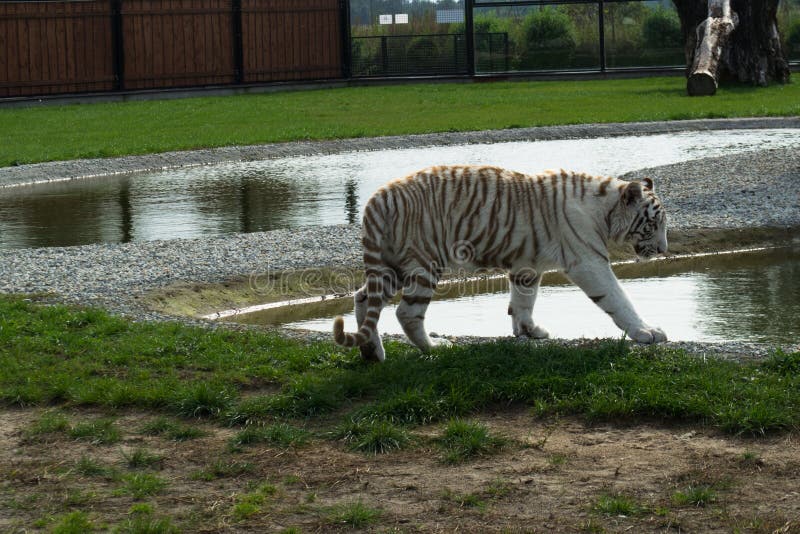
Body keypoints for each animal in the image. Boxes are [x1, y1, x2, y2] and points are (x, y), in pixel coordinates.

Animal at [333, 165, 668, 362]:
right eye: (653, 225)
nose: (664, 250)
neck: (606, 210)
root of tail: (377, 199)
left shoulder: (527, 265)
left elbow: (524, 300)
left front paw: (529, 331)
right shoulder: (588, 262)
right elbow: (618, 299)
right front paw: (647, 333)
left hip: (391, 266)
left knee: (363, 298)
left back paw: (372, 352)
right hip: (422, 263)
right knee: (407, 313)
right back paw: (435, 349)